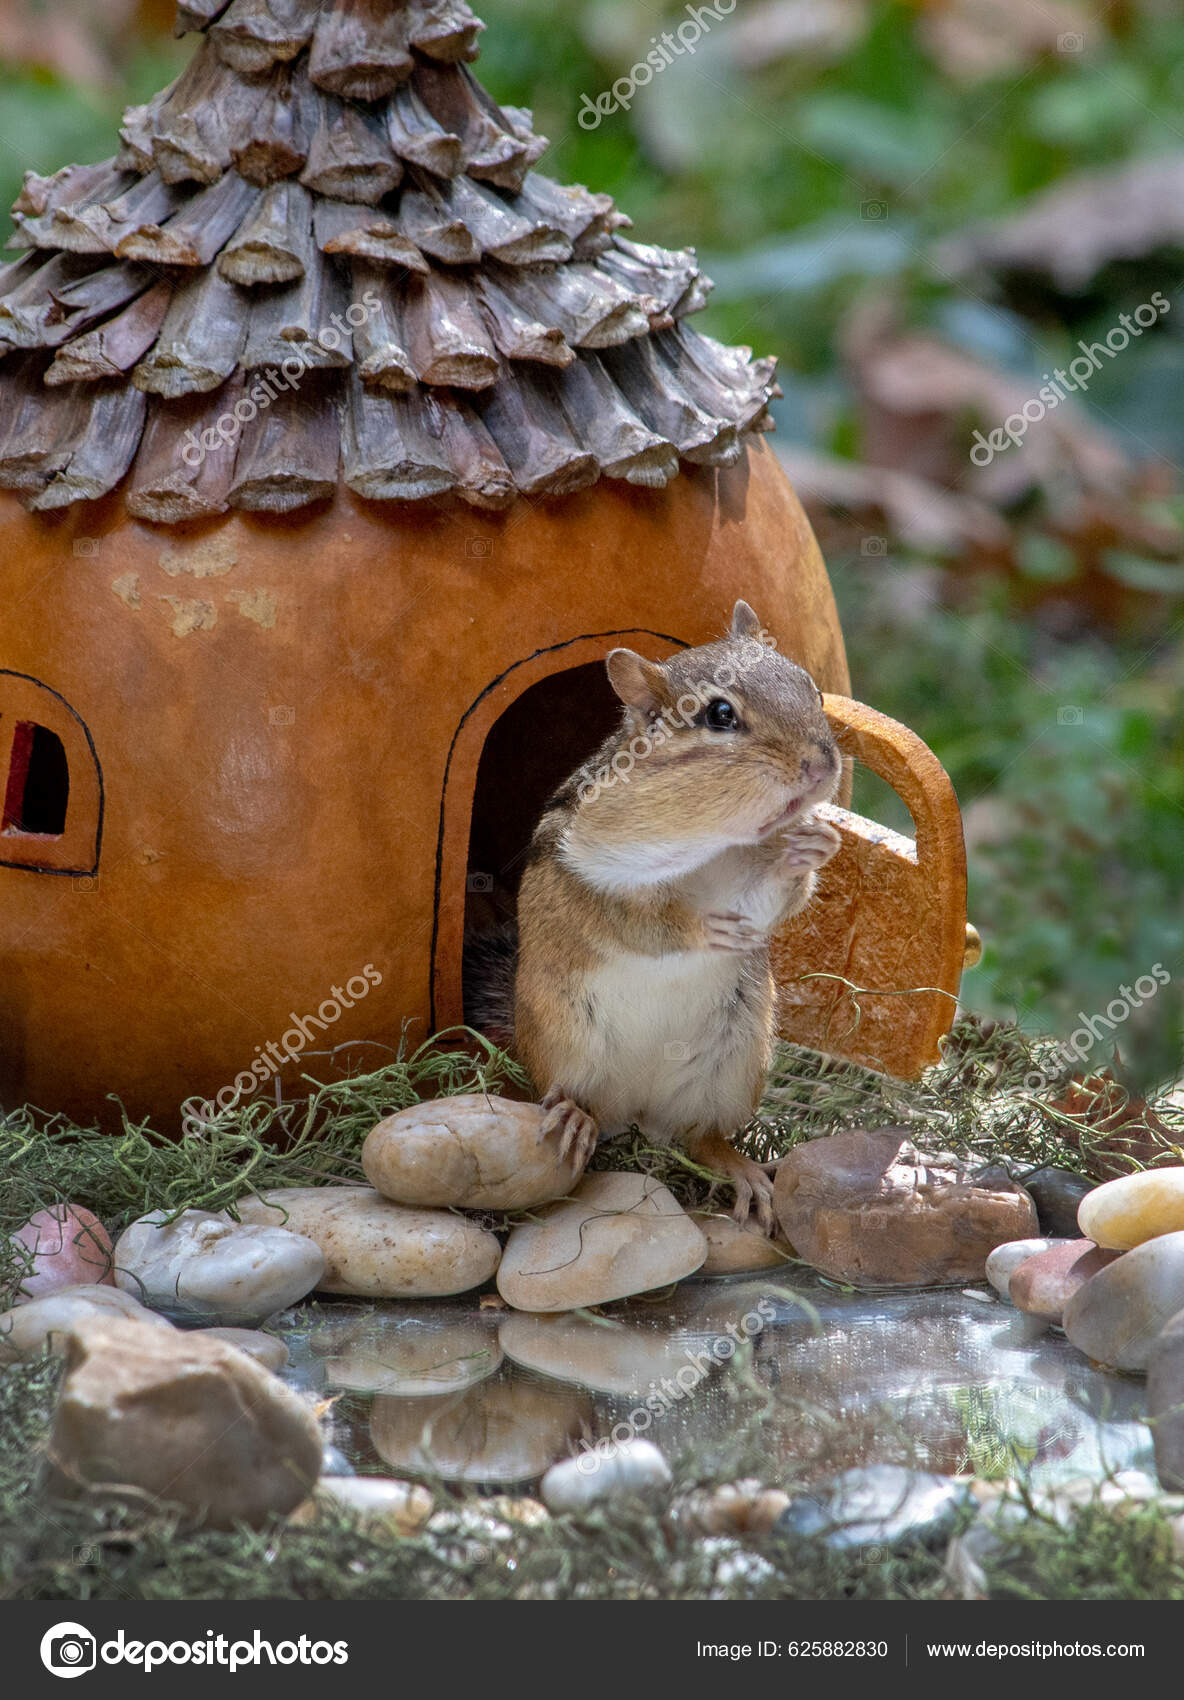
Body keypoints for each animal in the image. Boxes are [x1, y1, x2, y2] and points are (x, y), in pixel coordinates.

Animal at [511, 600, 842, 1231]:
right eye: (720, 714)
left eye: (812, 688)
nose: (820, 766)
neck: (708, 838)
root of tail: (639, 1105)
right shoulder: (592, 873)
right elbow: (641, 922)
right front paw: (702, 927)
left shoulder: (744, 878)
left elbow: (770, 900)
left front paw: (812, 847)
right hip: (565, 1043)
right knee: (585, 1101)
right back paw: (575, 1117)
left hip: (734, 1065)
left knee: (699, 1137)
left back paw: (742, 1173)